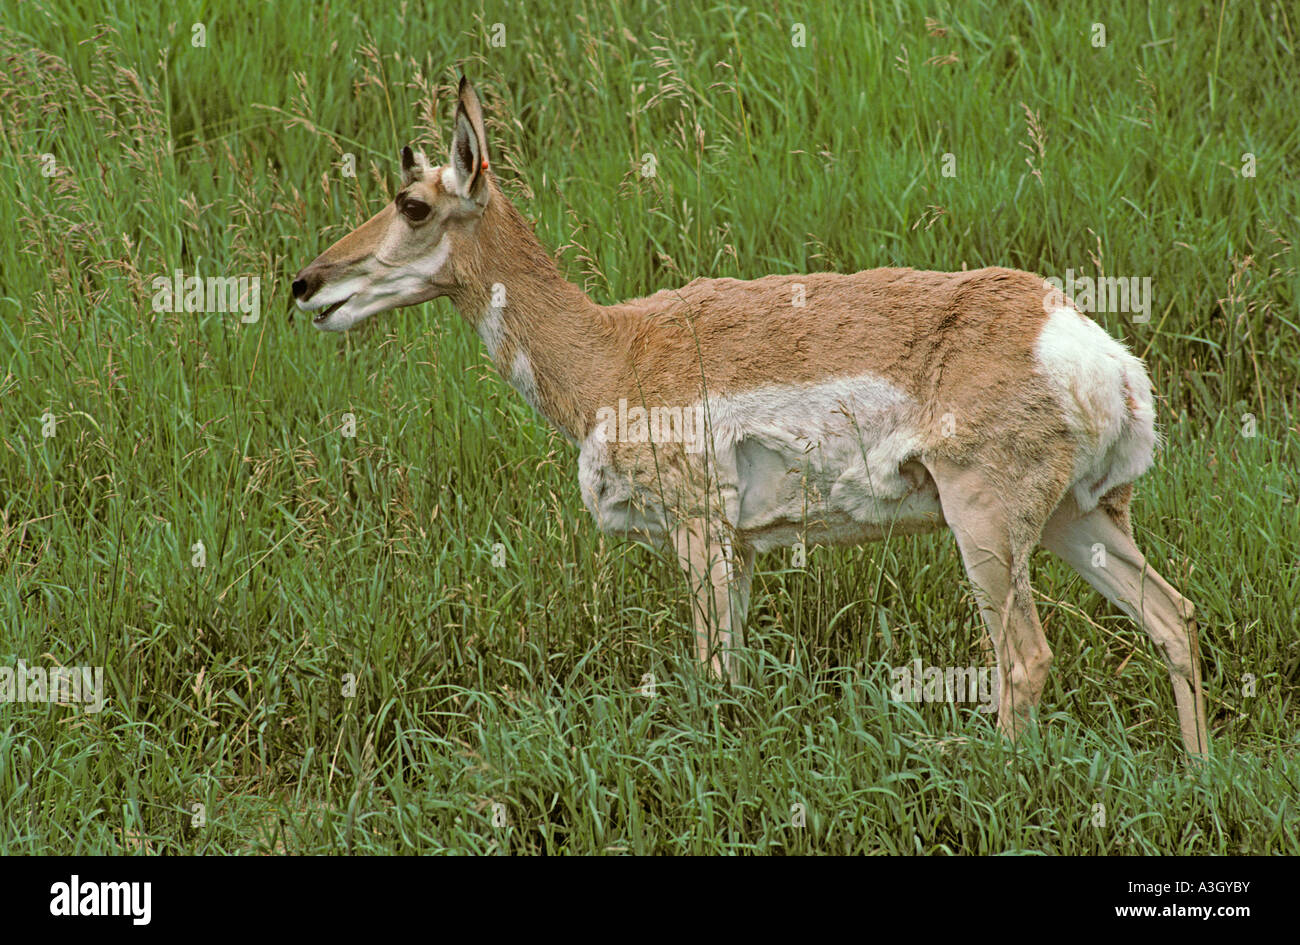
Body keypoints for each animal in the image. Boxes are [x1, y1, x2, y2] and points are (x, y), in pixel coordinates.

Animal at [291, 77, 1208, 754]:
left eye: (412, 204)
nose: (305, 284)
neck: (613, 348)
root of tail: (1087, 345)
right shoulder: (740, 550)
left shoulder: (700, 534)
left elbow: (712, 675)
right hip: (1074, 518)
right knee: (1173, 617)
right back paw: (1195, 774)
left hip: (987, 523)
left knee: (1025, 657)